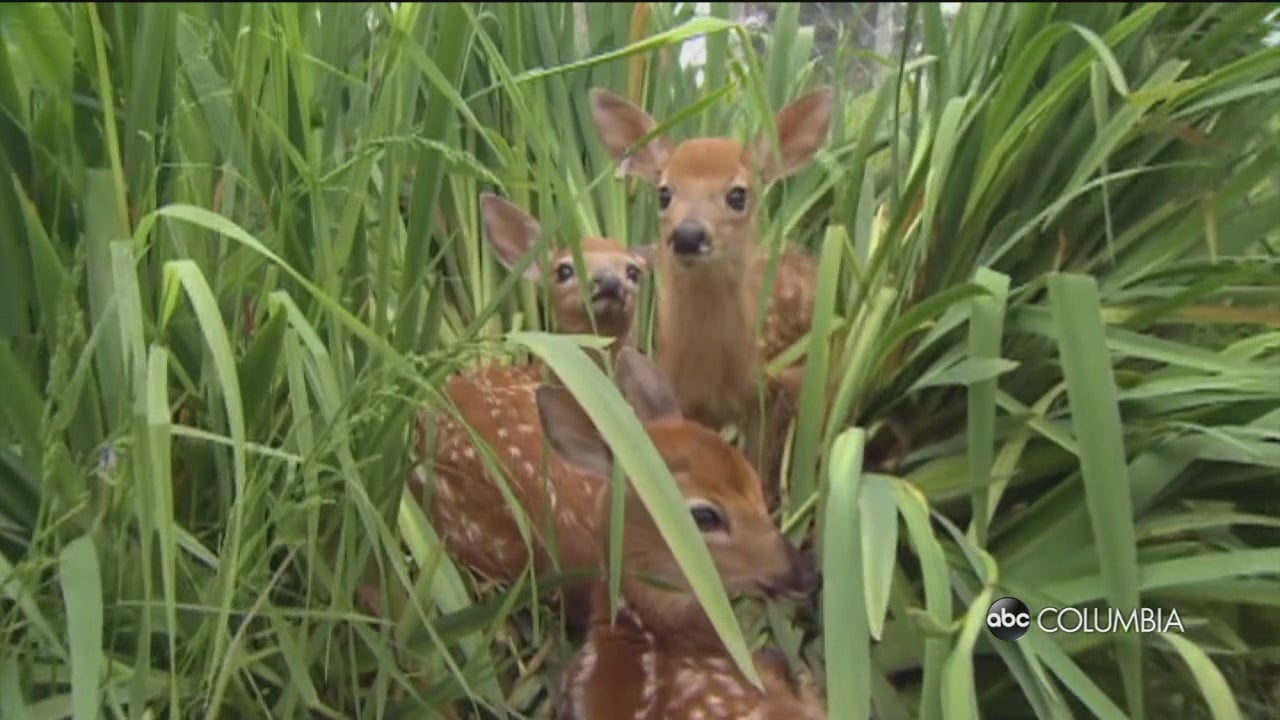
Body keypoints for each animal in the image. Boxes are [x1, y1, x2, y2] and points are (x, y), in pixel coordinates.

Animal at [587, 86, 834, 508]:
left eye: (737, 194)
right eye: (664, 193)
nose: (688, 236)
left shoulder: (771, 393)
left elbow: (762, 471)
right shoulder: (683, 394)